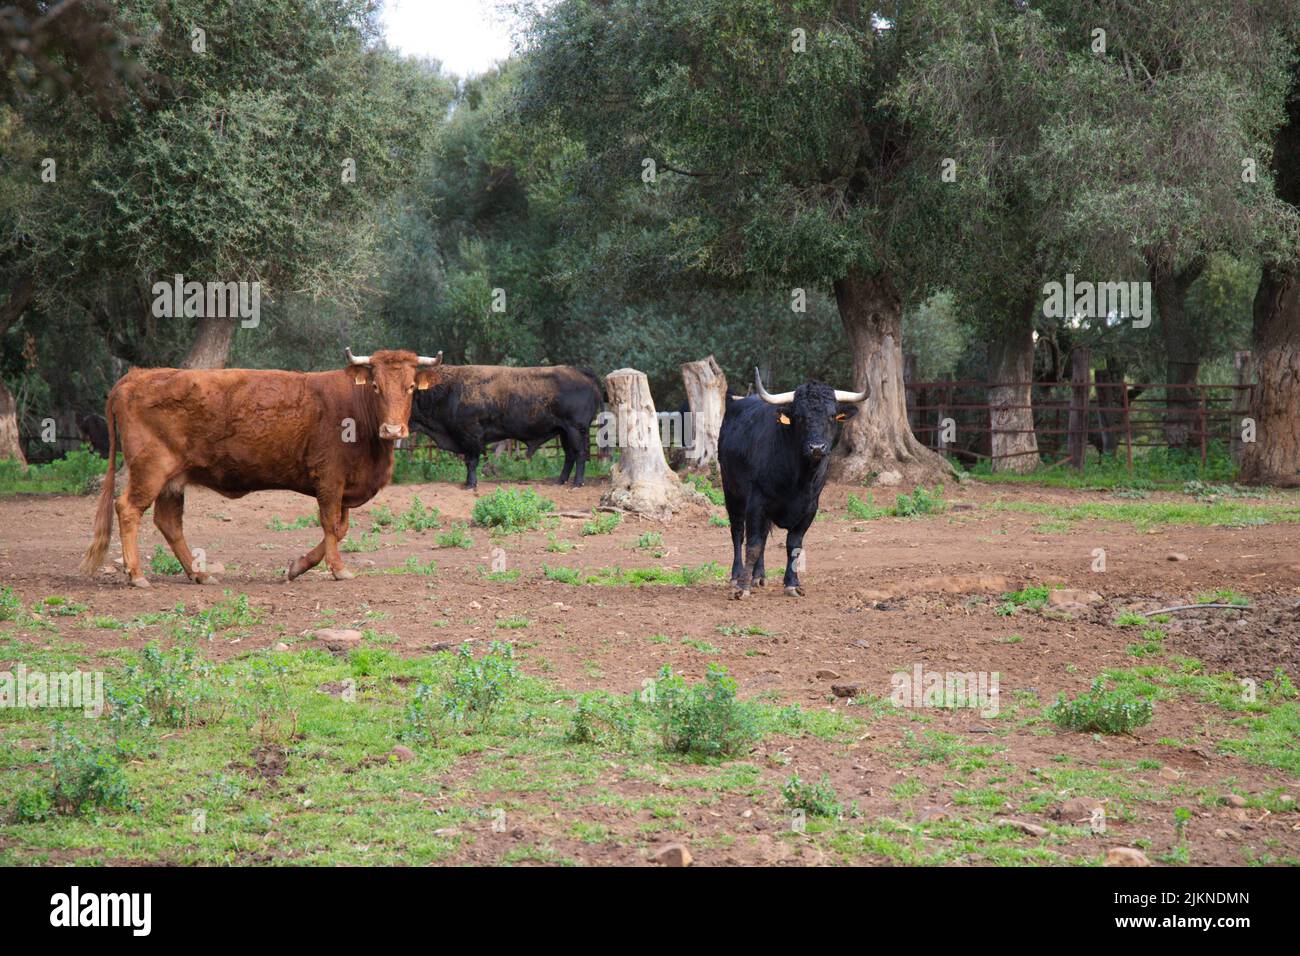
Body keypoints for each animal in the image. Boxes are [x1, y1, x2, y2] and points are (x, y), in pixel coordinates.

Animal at [79, 349, 443, 587]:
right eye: (376, 386)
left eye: (411, 387)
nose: (393, 430)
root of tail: (138, 375)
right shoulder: (329, 480)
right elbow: (330, 525)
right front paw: (338, 569)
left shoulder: (345, 487)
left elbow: (340, 529)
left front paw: (297, 567)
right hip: (150, 470)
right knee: (128, 509)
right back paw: (137, 575)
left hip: (174, 479)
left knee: (169, 523)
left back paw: (200, 574)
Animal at [408, 364, 603, 489]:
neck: (448, 390)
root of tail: (581, 372)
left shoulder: (471, 436)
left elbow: (471, 461)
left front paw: (470, 484)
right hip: (563, 432)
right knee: (569, 455)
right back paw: (560, 481)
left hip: (575, 429)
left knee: (579, 453)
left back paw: (577, 483)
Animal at [717, 369, 869, 599]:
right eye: (799, 416)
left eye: (831, 415)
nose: (817, 447)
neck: (798, 479)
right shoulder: (756, 503)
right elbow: (752, 545)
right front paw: (742, 588)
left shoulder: (810, 508)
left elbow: (793, 545)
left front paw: (792, 584)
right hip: (731, 492)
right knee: (737, 533)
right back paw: (737, 576)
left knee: (763, 535)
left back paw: (758, 576)